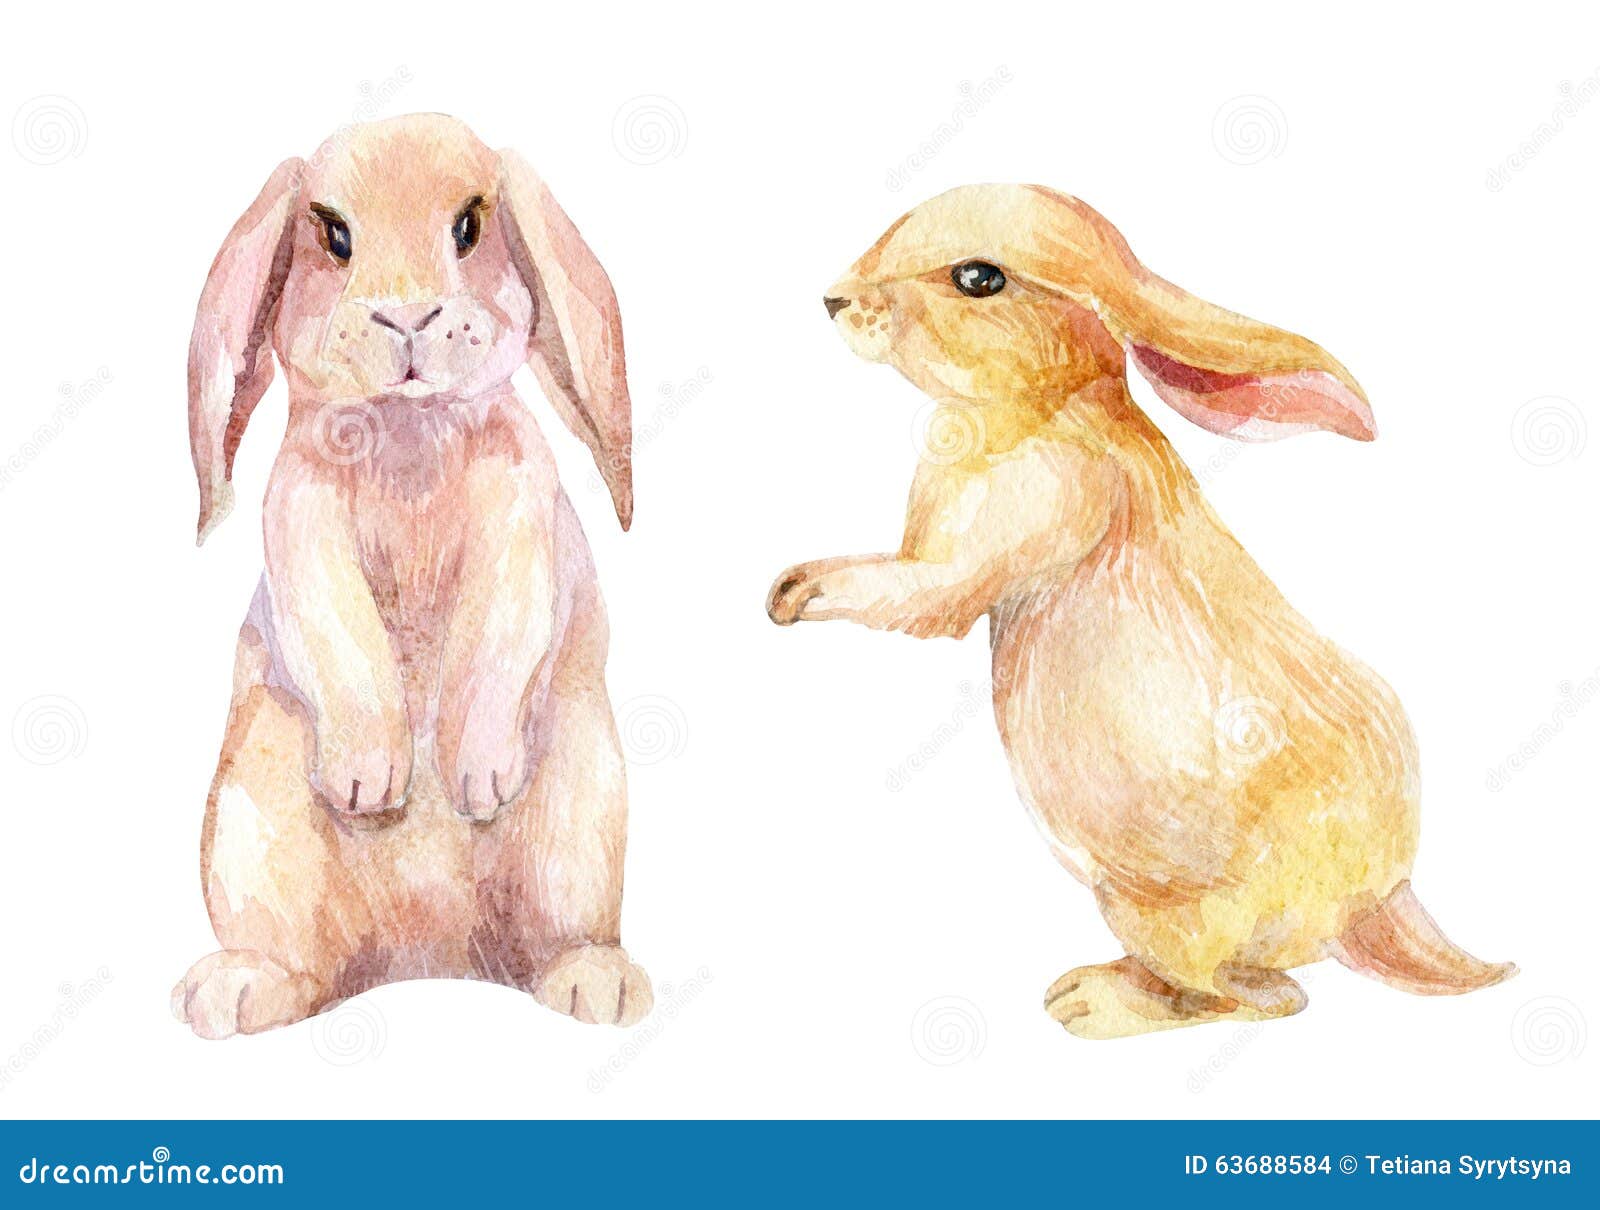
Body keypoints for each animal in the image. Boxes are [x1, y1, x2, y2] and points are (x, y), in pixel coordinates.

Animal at [173, 114, 651, 1038]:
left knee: (563, 936)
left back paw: (599, 987)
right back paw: (233, 993)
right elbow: (340, 630)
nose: (407, 316)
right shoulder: (300, 517)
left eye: (469, 226)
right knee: (297, 961)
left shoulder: (521, 510)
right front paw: (369, 783)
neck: (408, 435)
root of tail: (428, 955)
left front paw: (477, 778)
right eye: (332, 233)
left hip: (579, 827)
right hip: (250, 823)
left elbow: (498, 633)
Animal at [767, 184, 1514, 1038]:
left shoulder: (1015, 525)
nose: (833, 299)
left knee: (1261, 1000)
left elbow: (914, 594)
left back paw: (1089, 1002)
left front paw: (795, 593)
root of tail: (1375, 903)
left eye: (979, 278)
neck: (1047, 404)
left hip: (1154, 914)